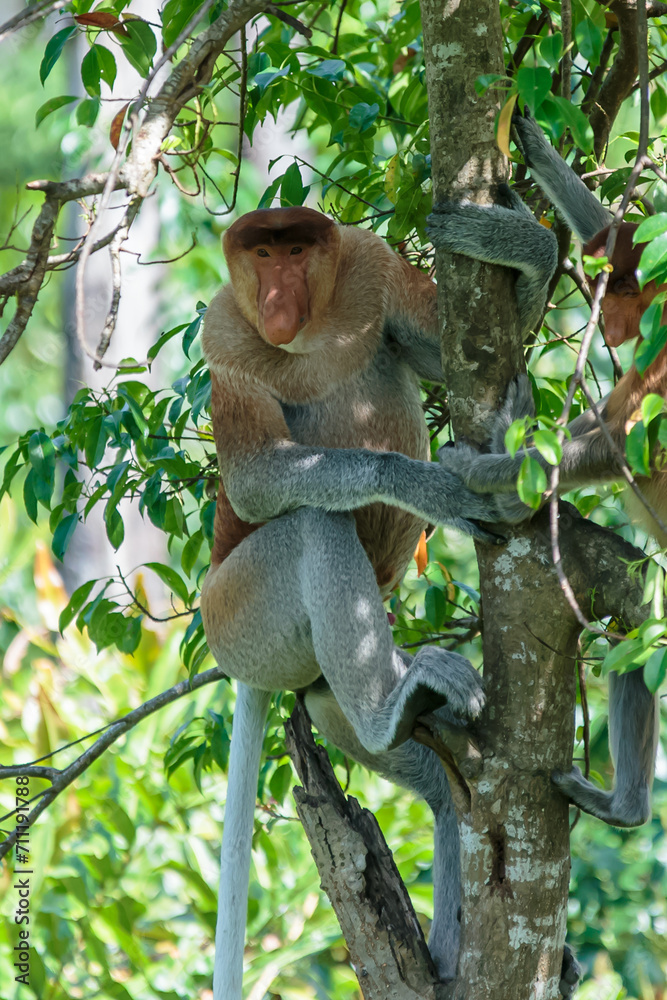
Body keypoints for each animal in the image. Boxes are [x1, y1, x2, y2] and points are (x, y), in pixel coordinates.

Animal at [199, 205, 524, 1000]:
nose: (277, 297)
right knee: (315, 524)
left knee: (414, 763)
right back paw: (393, 710)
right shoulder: (224, 338)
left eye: (295, 250)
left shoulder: (371, 267)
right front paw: (433, 488)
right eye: (261, 256)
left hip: (314, 677)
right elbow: (253, 481)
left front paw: (517, 238)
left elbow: (450, 349)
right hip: (239, 613)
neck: (312, 333)